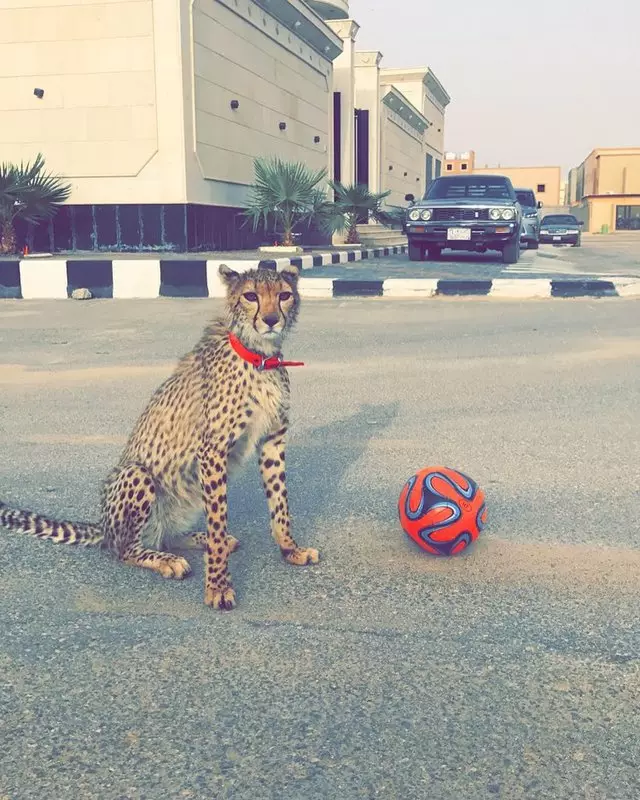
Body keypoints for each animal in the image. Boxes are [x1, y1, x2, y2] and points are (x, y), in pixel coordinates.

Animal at [0, 266, 318, 608]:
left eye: (284, 295)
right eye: (250, 296)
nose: (271, 320)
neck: (260, 355)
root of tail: (103, 527)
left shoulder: (272, 440)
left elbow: (280, 504)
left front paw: (290, 549)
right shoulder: (212, 451)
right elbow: (218, 523)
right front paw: (218, 585)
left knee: (166, 536)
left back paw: (190, 541)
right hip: (137, 475)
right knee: (123, 549)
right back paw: (166, 560)